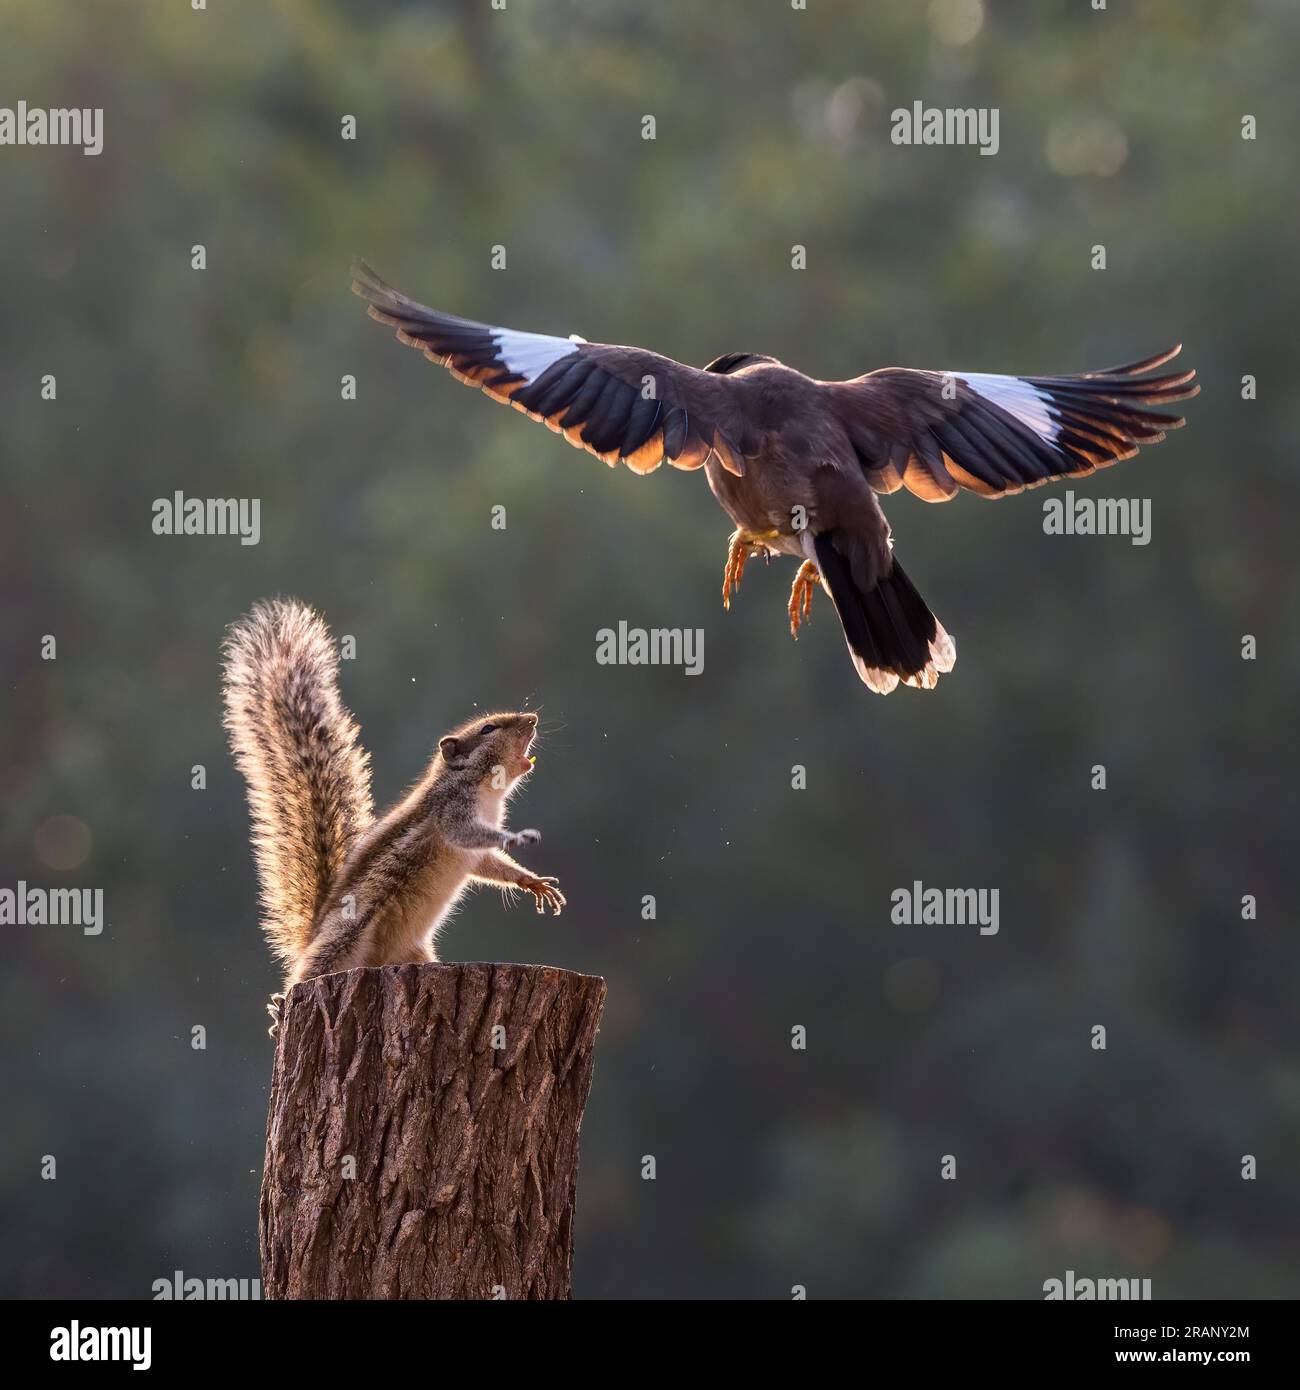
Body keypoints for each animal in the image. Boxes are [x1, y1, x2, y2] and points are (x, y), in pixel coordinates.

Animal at [220, 598, 565, 1034]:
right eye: (488, 728)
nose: (532, 719)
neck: (487, 790)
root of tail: (314, 929)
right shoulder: (451, 811)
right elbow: (469, 835)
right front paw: (516, 837)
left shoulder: (473, 849)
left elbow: (490, 865)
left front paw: (532, 882)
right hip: (346, 933)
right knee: (310, 969)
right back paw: (281, 1007)